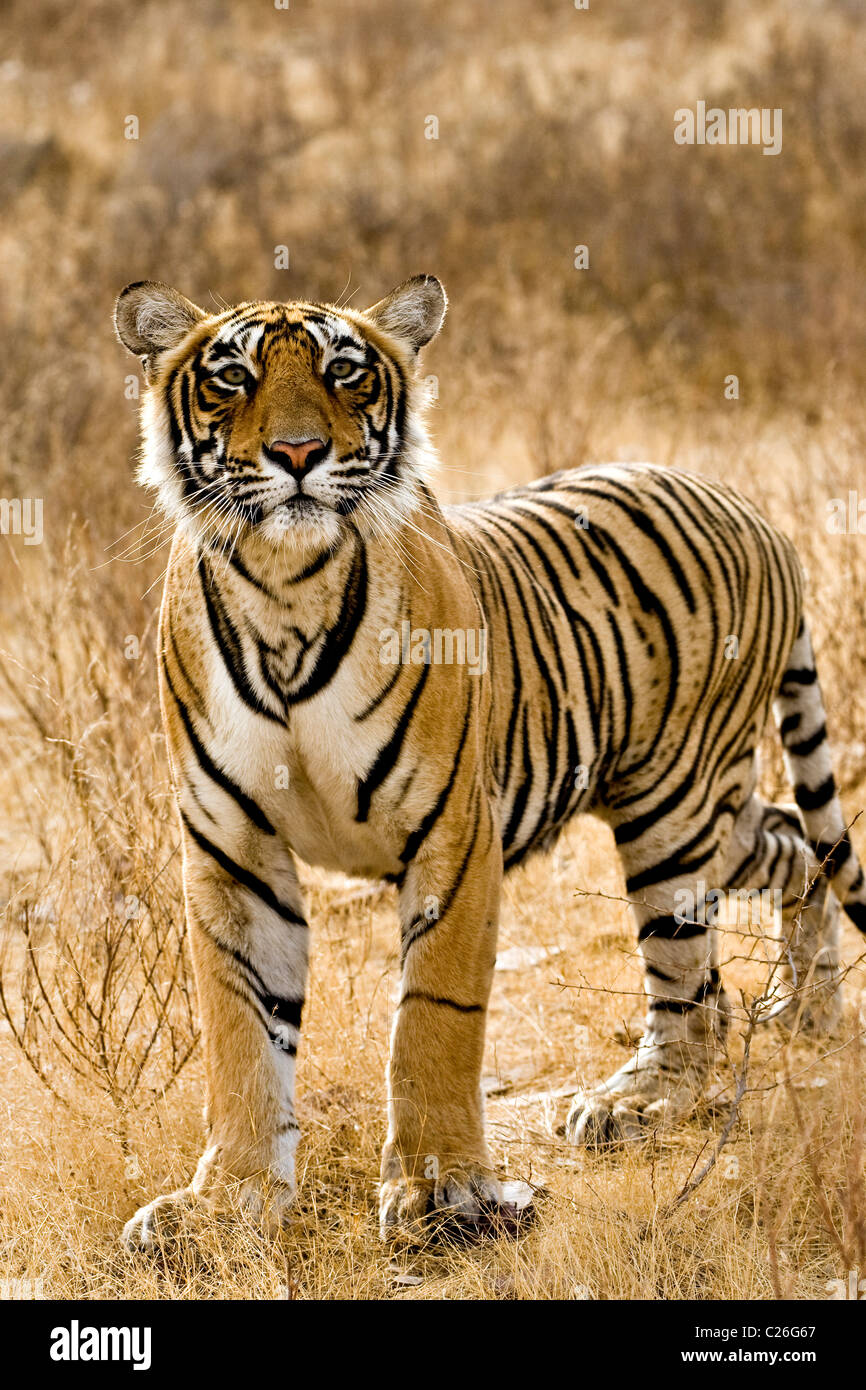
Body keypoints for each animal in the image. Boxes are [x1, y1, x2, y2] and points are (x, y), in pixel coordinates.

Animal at [114, 273, 866, 1246]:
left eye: (345, 371)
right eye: (233, 378)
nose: (298, 452)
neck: (287, 588)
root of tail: (755, 511)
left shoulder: (453, 831)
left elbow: (433, 1016)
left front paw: (442, 1195)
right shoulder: (231, 849)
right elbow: (241, 1026)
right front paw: (224, 1206)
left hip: (672, 808)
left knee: (687, 980)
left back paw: (637, 1100)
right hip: (698, 804)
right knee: (790, 842)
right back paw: (806, 1008)